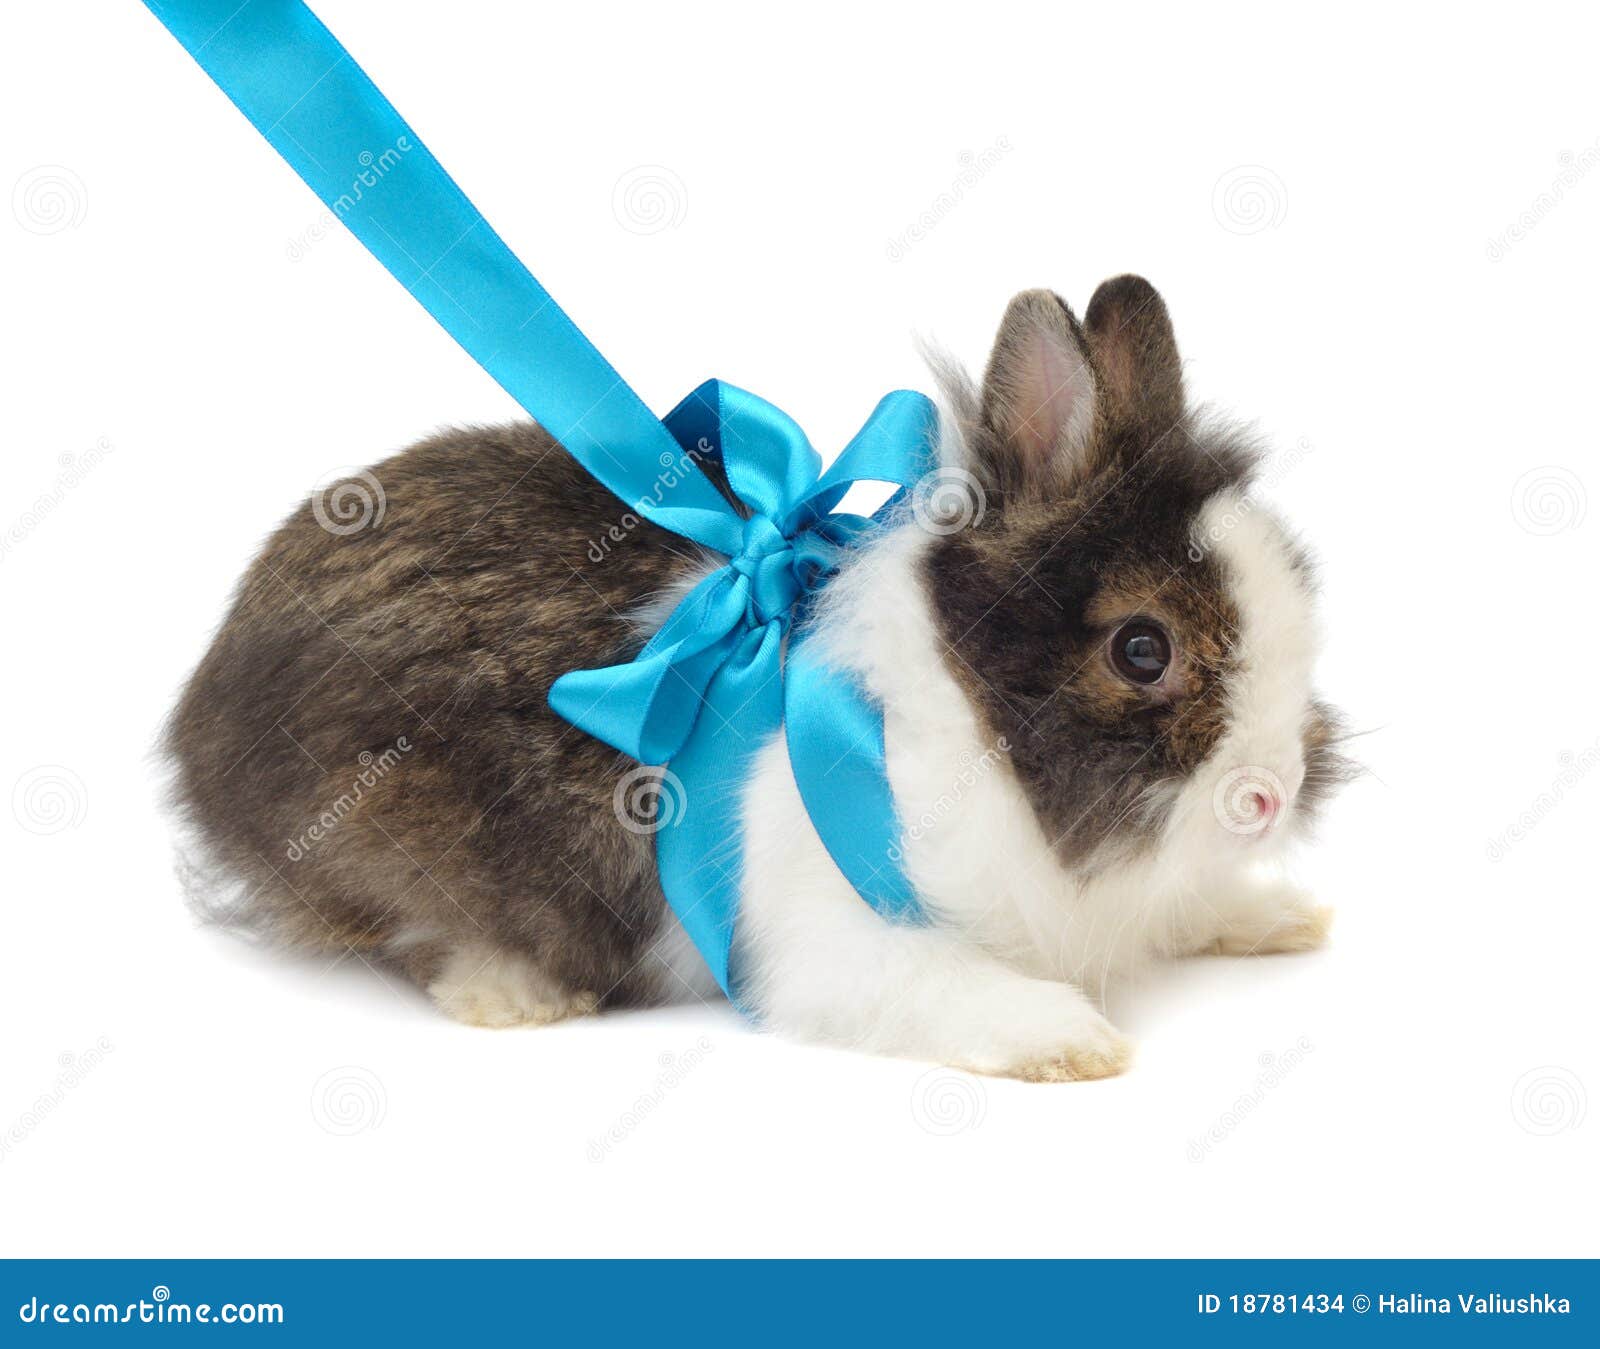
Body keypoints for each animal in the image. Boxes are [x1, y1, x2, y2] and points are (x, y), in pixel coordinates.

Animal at [165, 274, 1350, 1079]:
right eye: (1143, 648)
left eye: (1298, 582)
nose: (1272, 794)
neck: (960, 712)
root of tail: (200, 703)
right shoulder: (829, 937)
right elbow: (941, 983)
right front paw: (1069, 1037)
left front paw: (1276, 915)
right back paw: (514, 992)